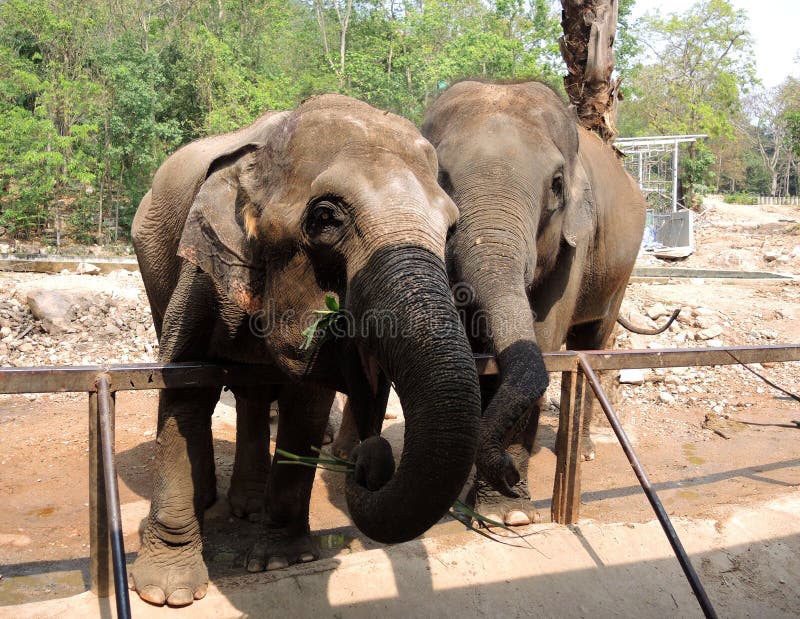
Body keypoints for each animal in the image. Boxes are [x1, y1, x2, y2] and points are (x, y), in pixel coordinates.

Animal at [130, 94, 481, 606]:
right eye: (326, 219)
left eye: (452, 230)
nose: (369, 459)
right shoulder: (204, 267)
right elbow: (185, 388)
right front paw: (166, 593)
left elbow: (307, 402)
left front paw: (281, 561)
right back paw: (209, 502)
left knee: (254, 392)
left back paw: (250, 508)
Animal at [420, 80, 647, 525]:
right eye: (439, 178)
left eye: (556, 183)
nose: (509, 475)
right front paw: (471, 496)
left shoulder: (576, 241)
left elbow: (541, 341)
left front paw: (509, 513)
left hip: (620, 272)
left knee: (592, 342)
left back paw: (581, 452)